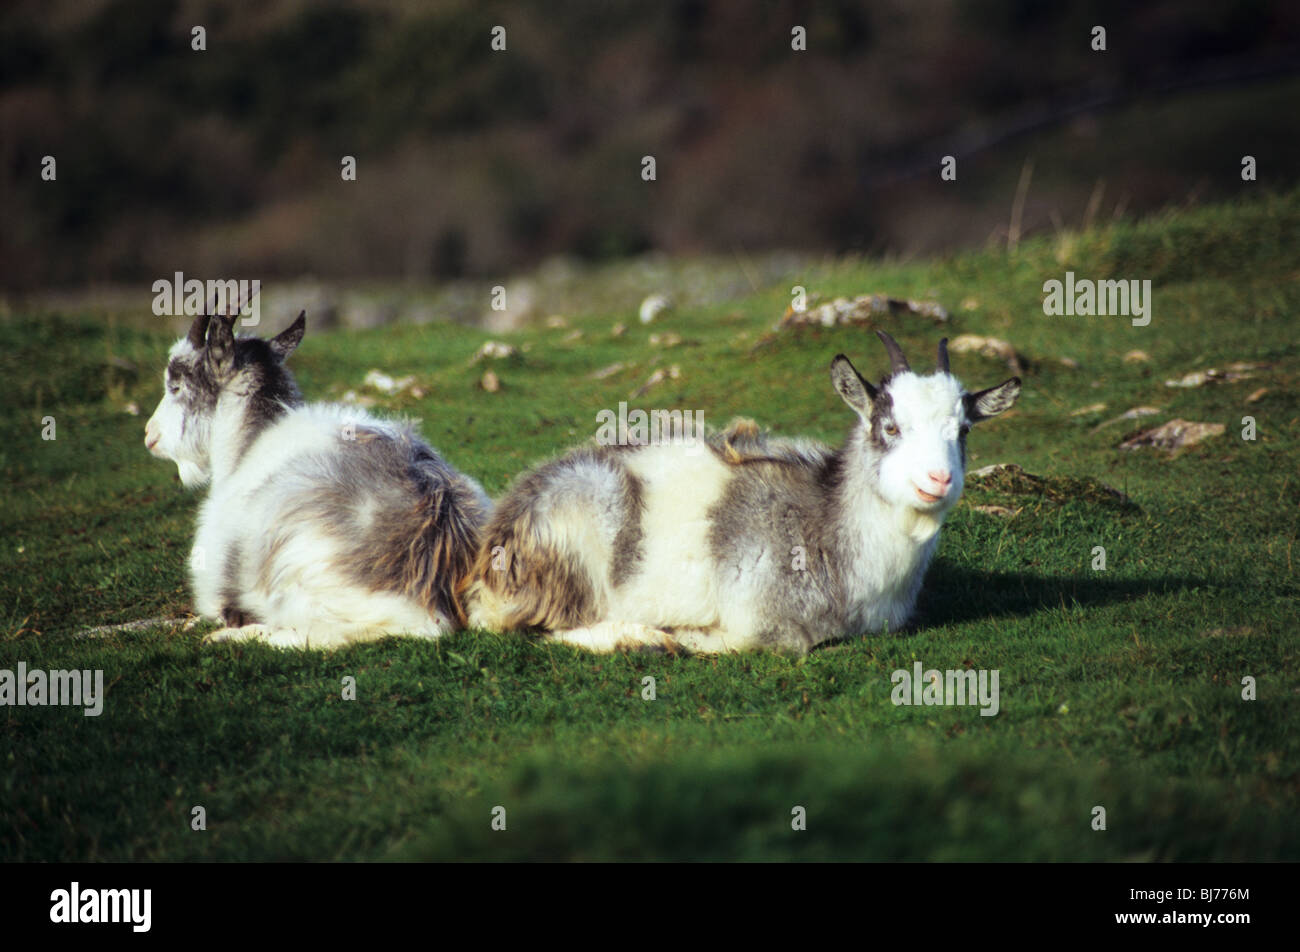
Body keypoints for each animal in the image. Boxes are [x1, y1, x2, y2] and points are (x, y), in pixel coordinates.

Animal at [465, 331, 1020, 653]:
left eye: (964, 429)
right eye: (889, 427)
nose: (937, 480)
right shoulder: (761, 616)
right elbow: (766, 642)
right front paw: (686, 635)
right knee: (536, 627)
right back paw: (644, 637)